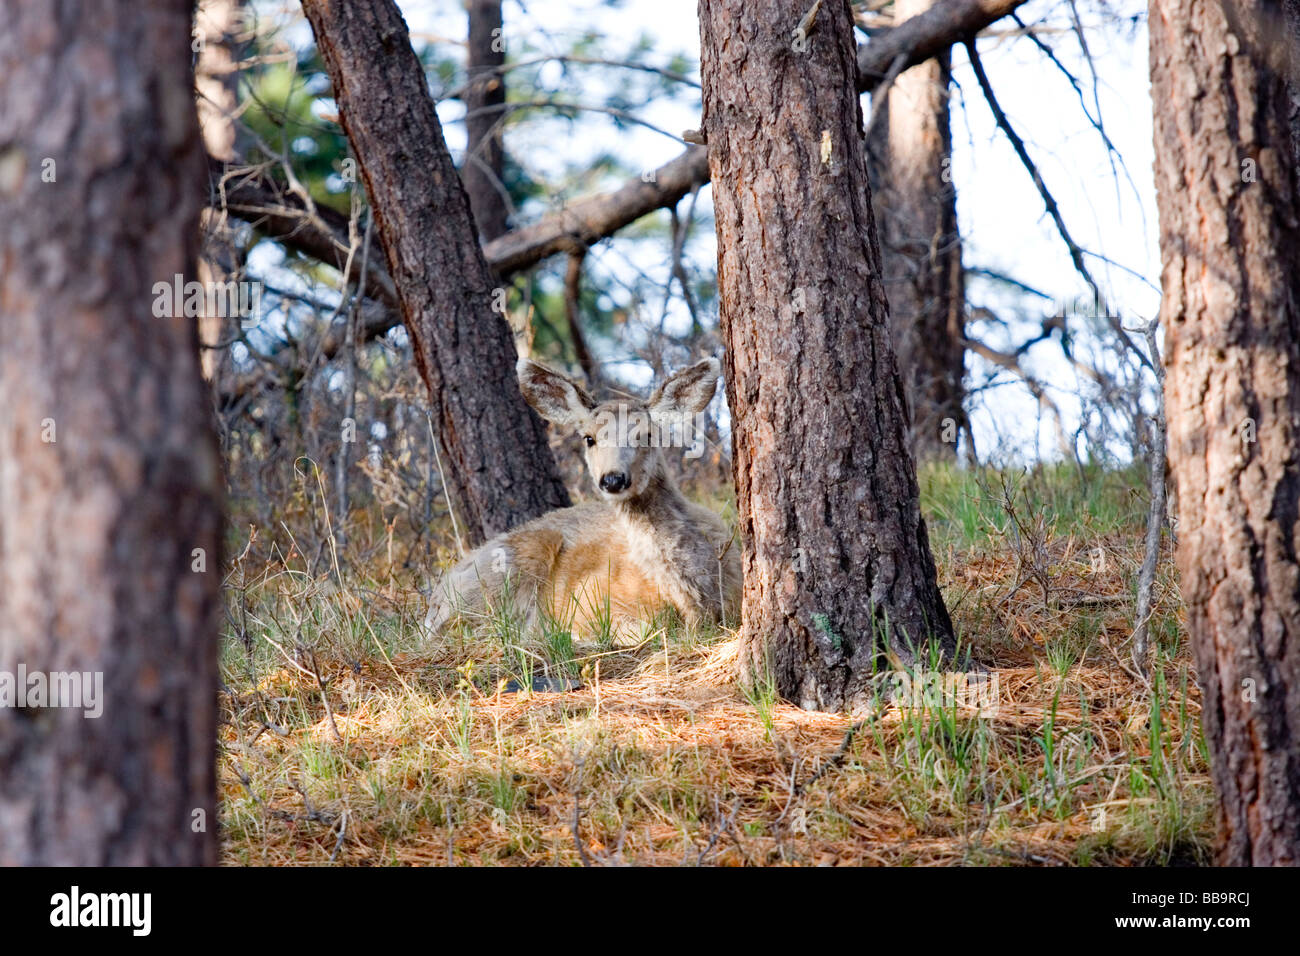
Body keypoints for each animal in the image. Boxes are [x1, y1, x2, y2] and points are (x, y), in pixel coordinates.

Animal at [425, 357, 742, 643]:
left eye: (647, 435)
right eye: (589, 438)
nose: (613, 479)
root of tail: (438, 593)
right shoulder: (586, 600)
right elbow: (641, 629)